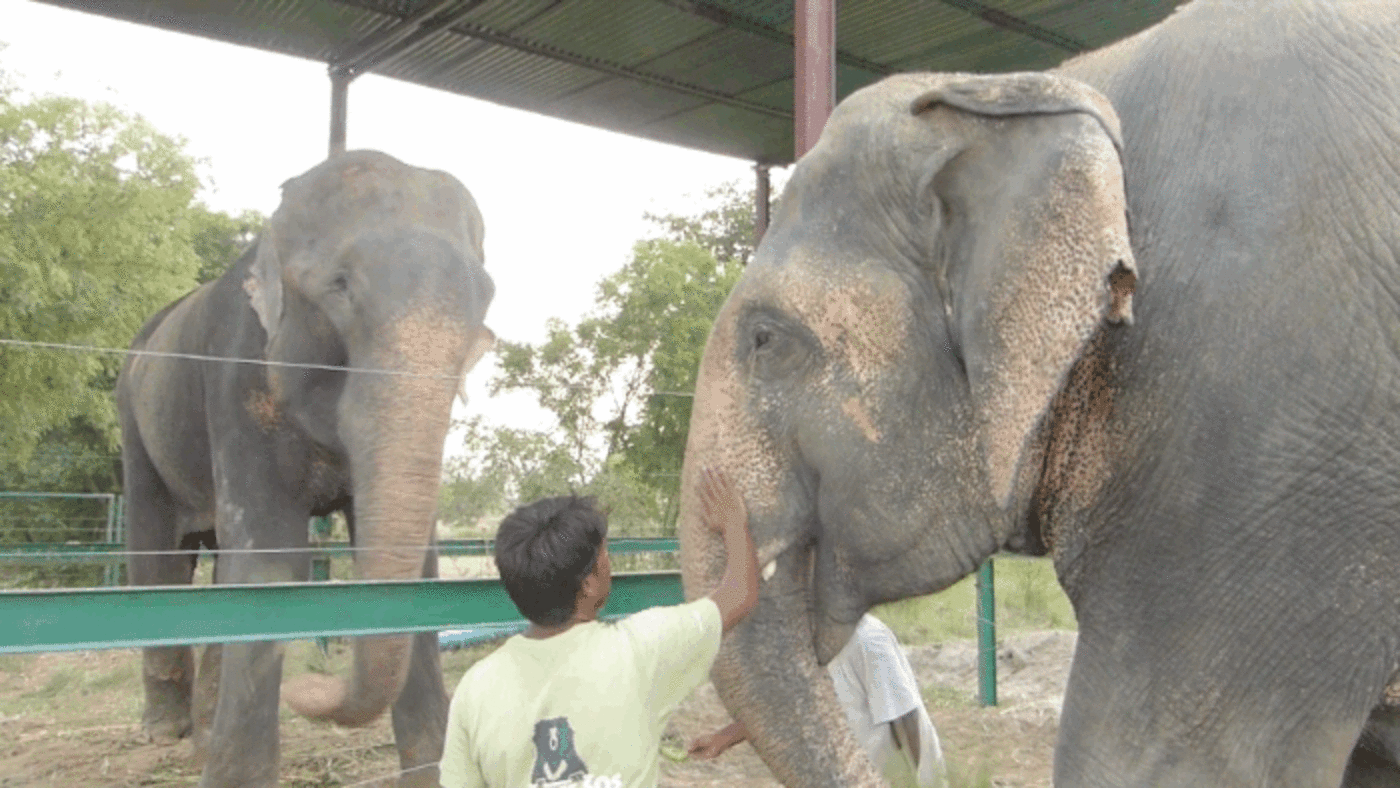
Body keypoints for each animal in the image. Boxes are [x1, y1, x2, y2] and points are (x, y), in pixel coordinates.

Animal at [116, 149, 495, 788]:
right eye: (339, 286)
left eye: (486, 298)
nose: (309, 686)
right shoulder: (237, 374)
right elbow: (269, 563)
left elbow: (415, 564)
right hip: (134, 424)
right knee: (158, 559)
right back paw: (166, 732)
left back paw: (199, 738)